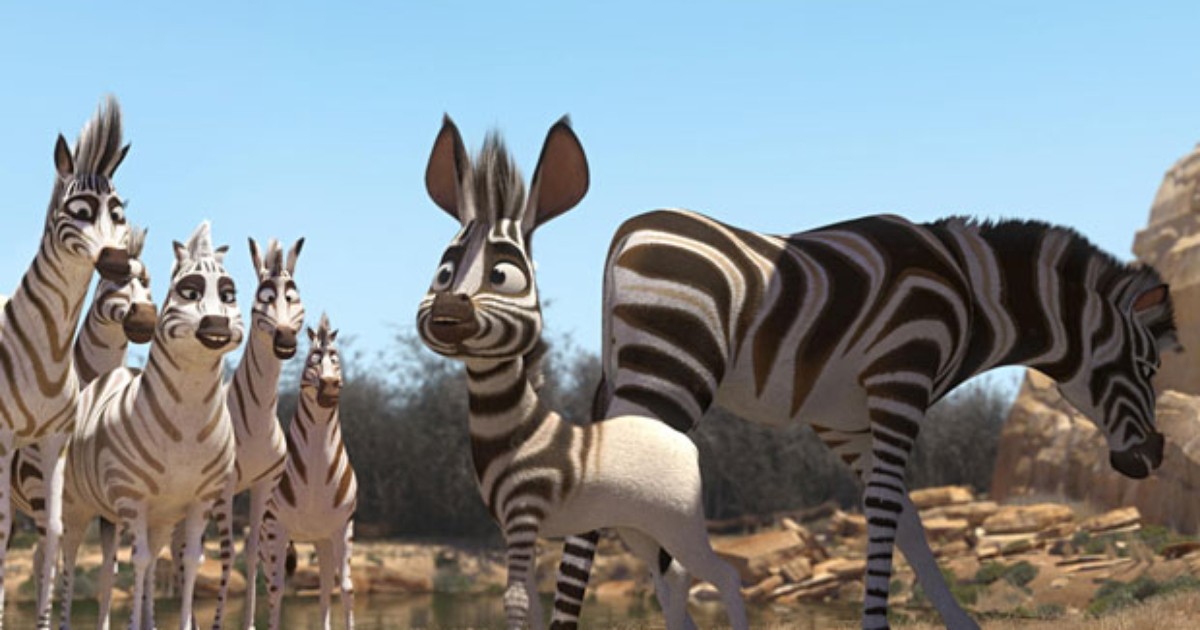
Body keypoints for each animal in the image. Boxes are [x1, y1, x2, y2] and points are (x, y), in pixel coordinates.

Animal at [0, 96, 134, 629]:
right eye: (77, 211)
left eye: (120, 212)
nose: (116, 262)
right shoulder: (7, 441)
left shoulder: (54, 445)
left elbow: (57, 539)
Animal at [57, 220, 243, 630]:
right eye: (188, 292)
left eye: (229, 294)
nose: (217, 324)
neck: (187, 424)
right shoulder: (133, 497)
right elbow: (139, 562)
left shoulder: (199, 500)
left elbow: (190, 562)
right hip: (78, 505)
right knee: (69, 558)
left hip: (156, 515)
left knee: (126, 566)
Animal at [258, 313, 355, 630]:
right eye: (312, 358)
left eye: (335, 357)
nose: (329, 386)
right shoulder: (277, 527)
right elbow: (276, 590)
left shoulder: (343, 527)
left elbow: (345, 588)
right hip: (266, 539)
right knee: (267, 584)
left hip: (322, 540)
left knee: (325, 586)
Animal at [416, 116, 748, 630]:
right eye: (444, 272)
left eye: (505, 275)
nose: (448, 315)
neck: (518, 427)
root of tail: (673, 435)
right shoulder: (512, 524)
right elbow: (529, 601)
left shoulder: (525, 513)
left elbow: (515, 599)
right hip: (641, 529)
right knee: (674, 581)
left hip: (679, 523)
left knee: (724, 575)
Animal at [554, 209, 1179, 629]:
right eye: (1146, 368)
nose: (1152, 456)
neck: (971, 296)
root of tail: (628, 233)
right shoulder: (900, 381)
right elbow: (883, 509)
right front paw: (877, 621)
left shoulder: (846, 423)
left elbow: (909, 520)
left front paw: (960, 621)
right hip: (665, 378)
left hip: (632, 383)